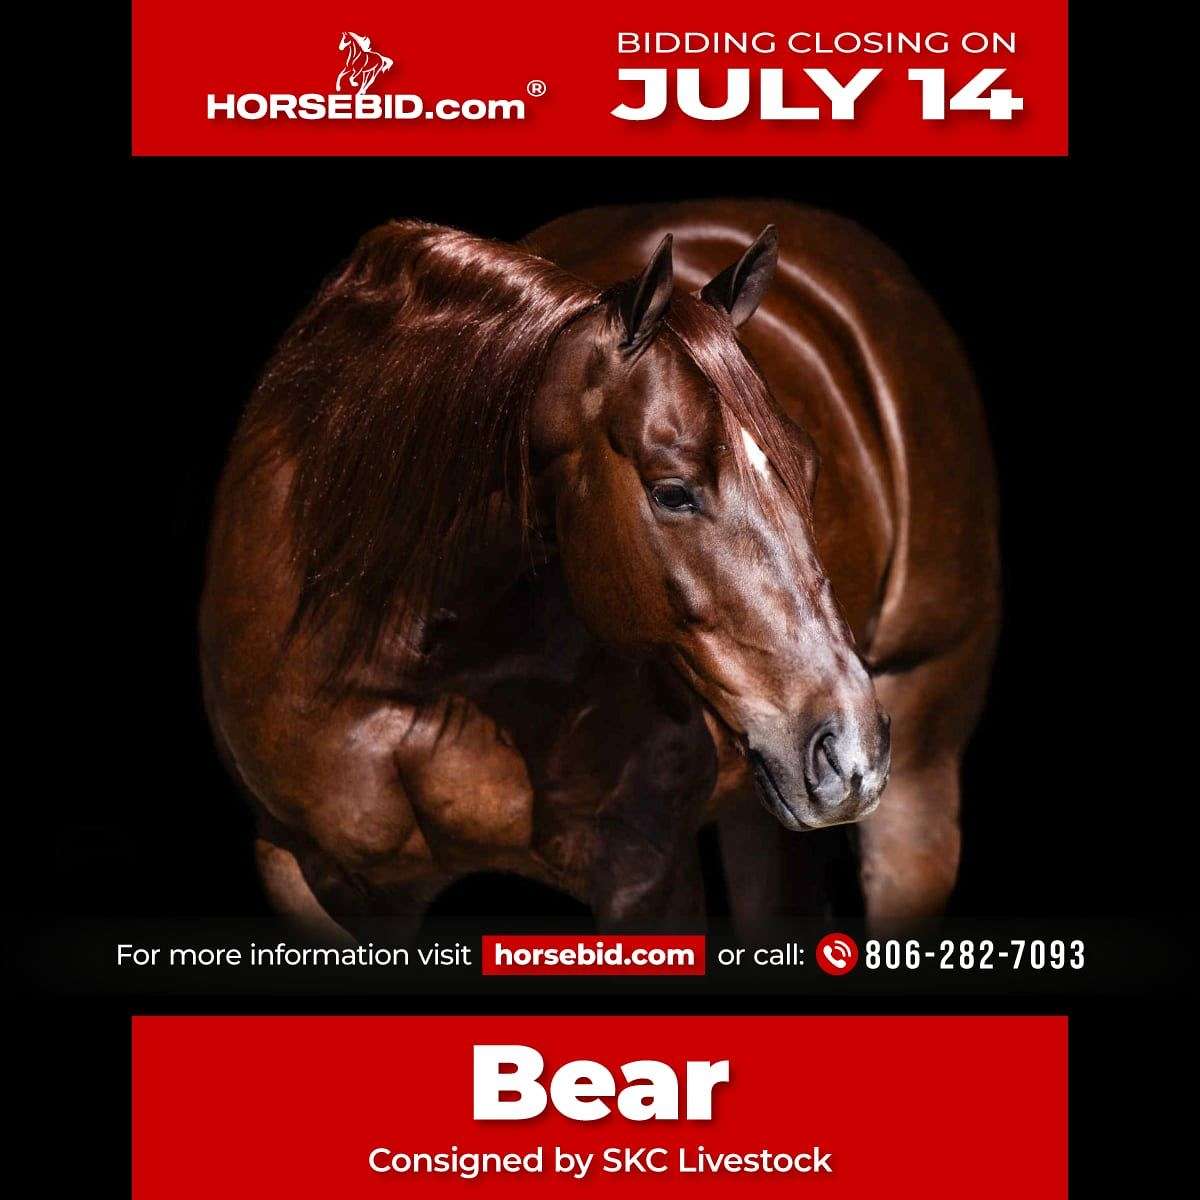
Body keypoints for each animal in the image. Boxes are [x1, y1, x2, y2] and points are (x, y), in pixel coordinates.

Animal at [199, 200, 999, 943]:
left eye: (808, 467)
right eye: (672, 491)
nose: (851, 750)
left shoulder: (644, 875)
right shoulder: (309, 871)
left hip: (919, 782)